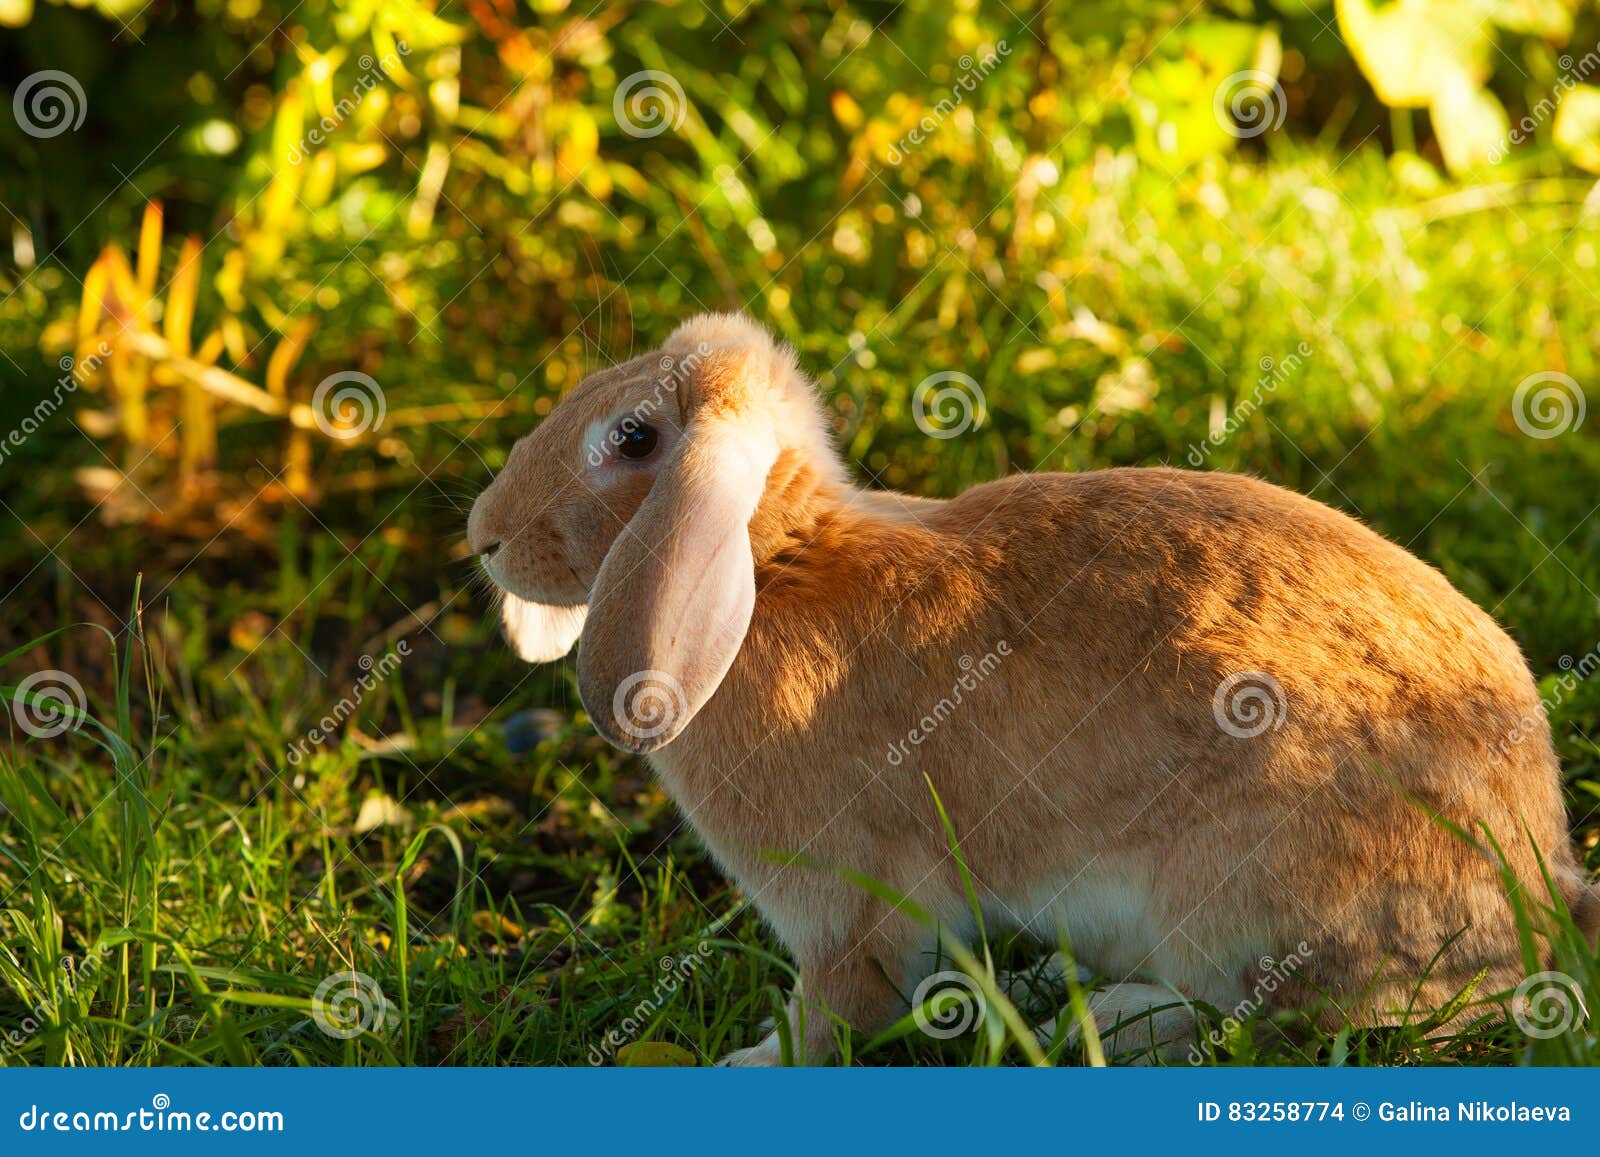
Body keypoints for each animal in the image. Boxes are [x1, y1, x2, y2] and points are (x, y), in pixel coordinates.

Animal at [468, 311, 1599, 1065]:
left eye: (631, 439)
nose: (484, 533)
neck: (774, 565)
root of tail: (1537, 876)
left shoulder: (846, 903)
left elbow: (837, 1007)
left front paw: (749, 1062)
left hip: (1242, 897)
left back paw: (1106, 1019)